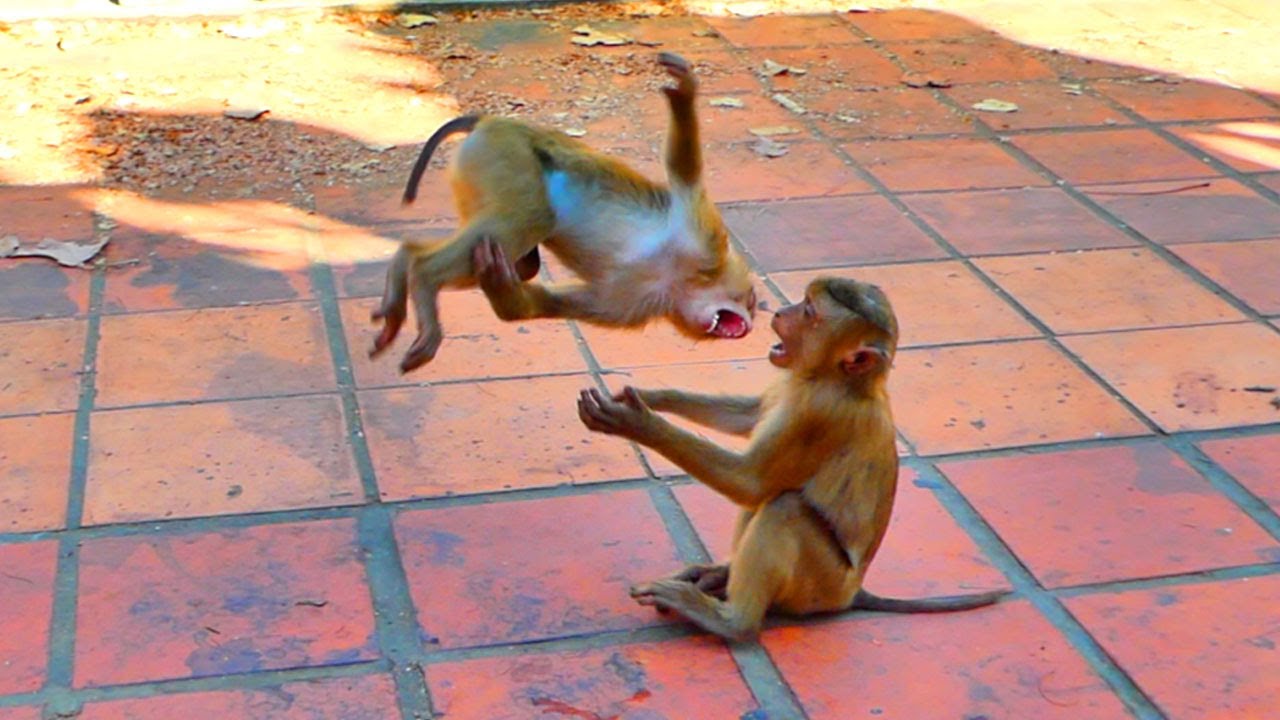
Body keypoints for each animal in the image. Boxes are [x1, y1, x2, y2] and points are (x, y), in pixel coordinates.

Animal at [370, 52, 757, 373]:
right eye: (751, 301)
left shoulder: (631, 306)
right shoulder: (704, 241)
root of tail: (489, 121)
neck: (677, 280)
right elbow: (684, 174)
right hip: (504, 152)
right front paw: (684, 95)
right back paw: (423, 274)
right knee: (532, 215)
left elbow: (546, 304)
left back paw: (407, 262)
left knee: (521, 259)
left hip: (476, 171)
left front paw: (502, 291)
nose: (749, 325)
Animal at [577, 277, 1007, 640]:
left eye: (809, 312)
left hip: (819, 585)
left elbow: (750, 482)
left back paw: (731, 621)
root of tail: (852, 593)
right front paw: (652, 397)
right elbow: (749, 417)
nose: (780, 312)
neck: (839, 379)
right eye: (802, 302)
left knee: (783, 506)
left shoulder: (818, 413)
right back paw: (721, 574)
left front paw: (636, 422)